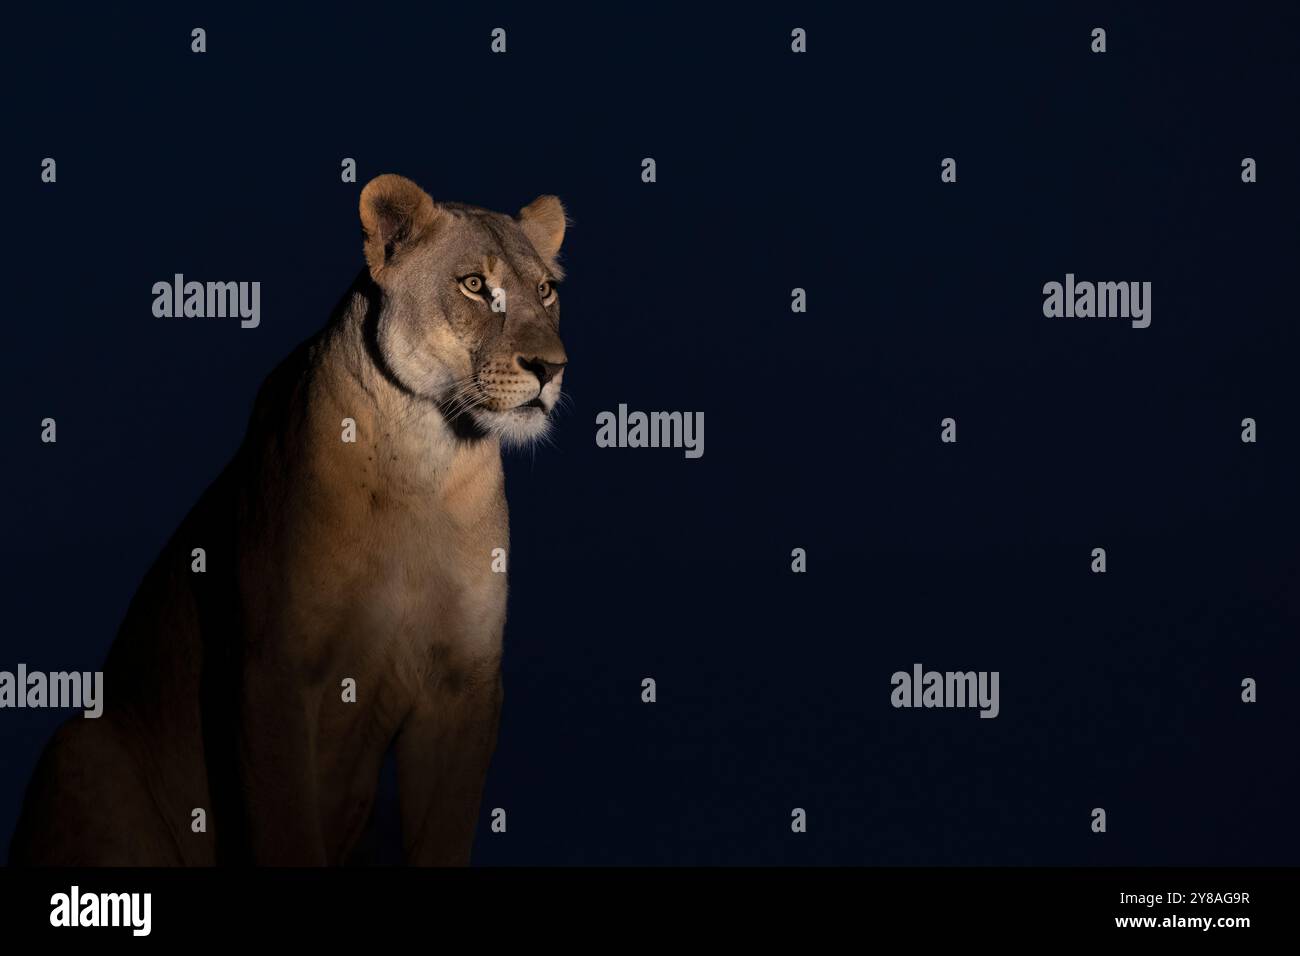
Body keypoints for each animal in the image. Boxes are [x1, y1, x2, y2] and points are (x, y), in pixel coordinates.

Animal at [9, 174, 569, 866]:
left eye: (545, 290)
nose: (552, 368)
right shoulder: (274, 668)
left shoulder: (464, 682)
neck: (424, 465)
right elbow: (287, 828)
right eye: (473, 285)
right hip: (81, 748)